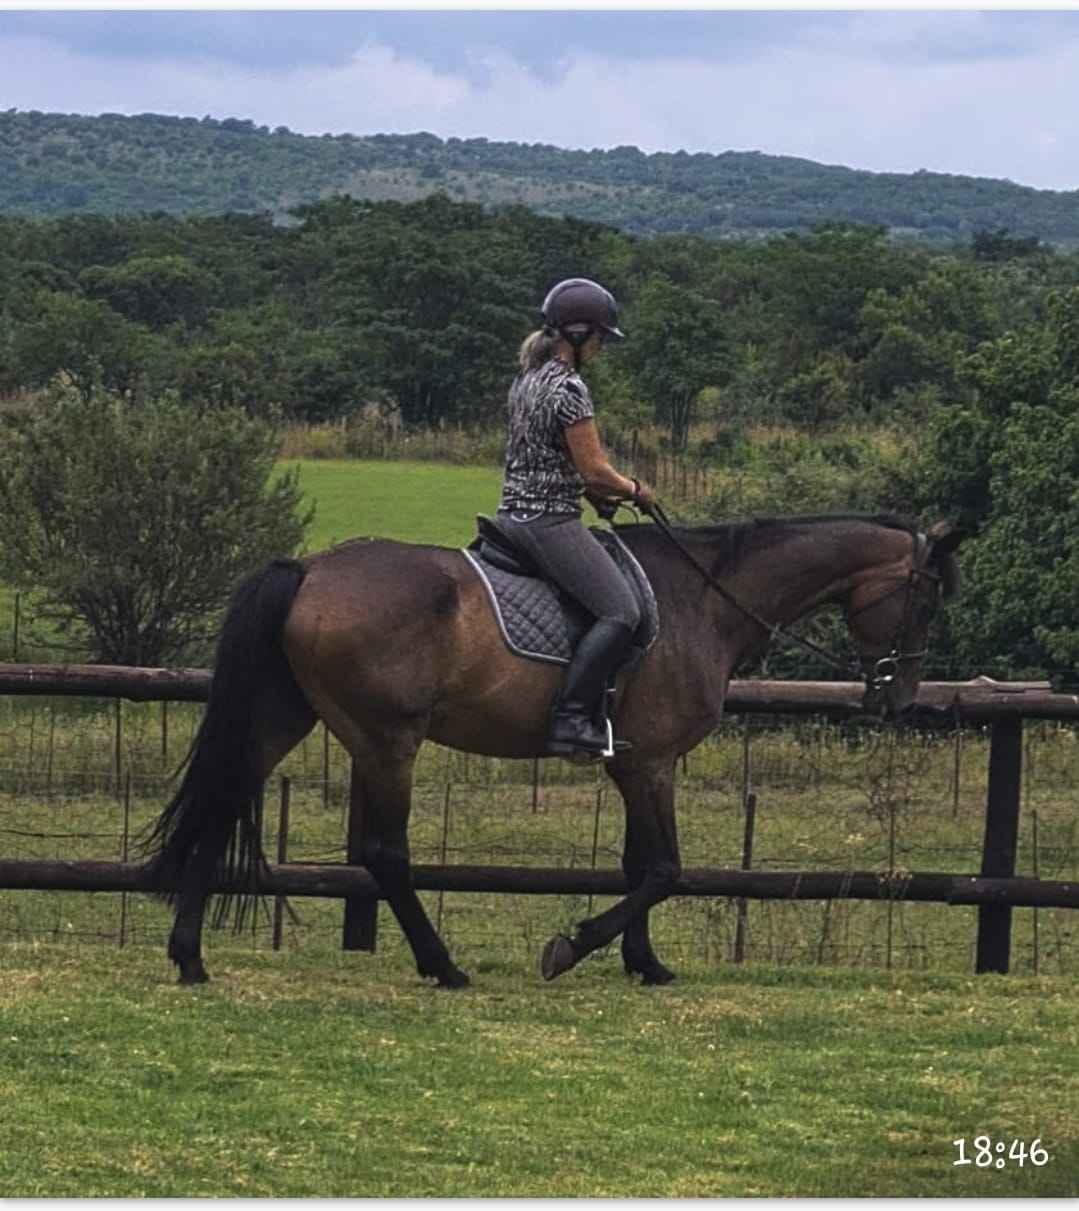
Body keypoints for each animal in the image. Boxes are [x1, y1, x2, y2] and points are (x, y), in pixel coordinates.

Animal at [144, 512, 962, 988]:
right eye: (924, 600)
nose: (899, 698)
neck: (702, 600)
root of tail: (310, 568)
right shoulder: (650, 762)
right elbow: (665, 869)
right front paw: (575, 945)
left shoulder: (632, 762)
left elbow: (637, 864)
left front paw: (644, 963)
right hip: (386, 741)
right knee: (384, 854)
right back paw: (444, 966)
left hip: (287, 718)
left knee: (220, 812)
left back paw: (189, 957)